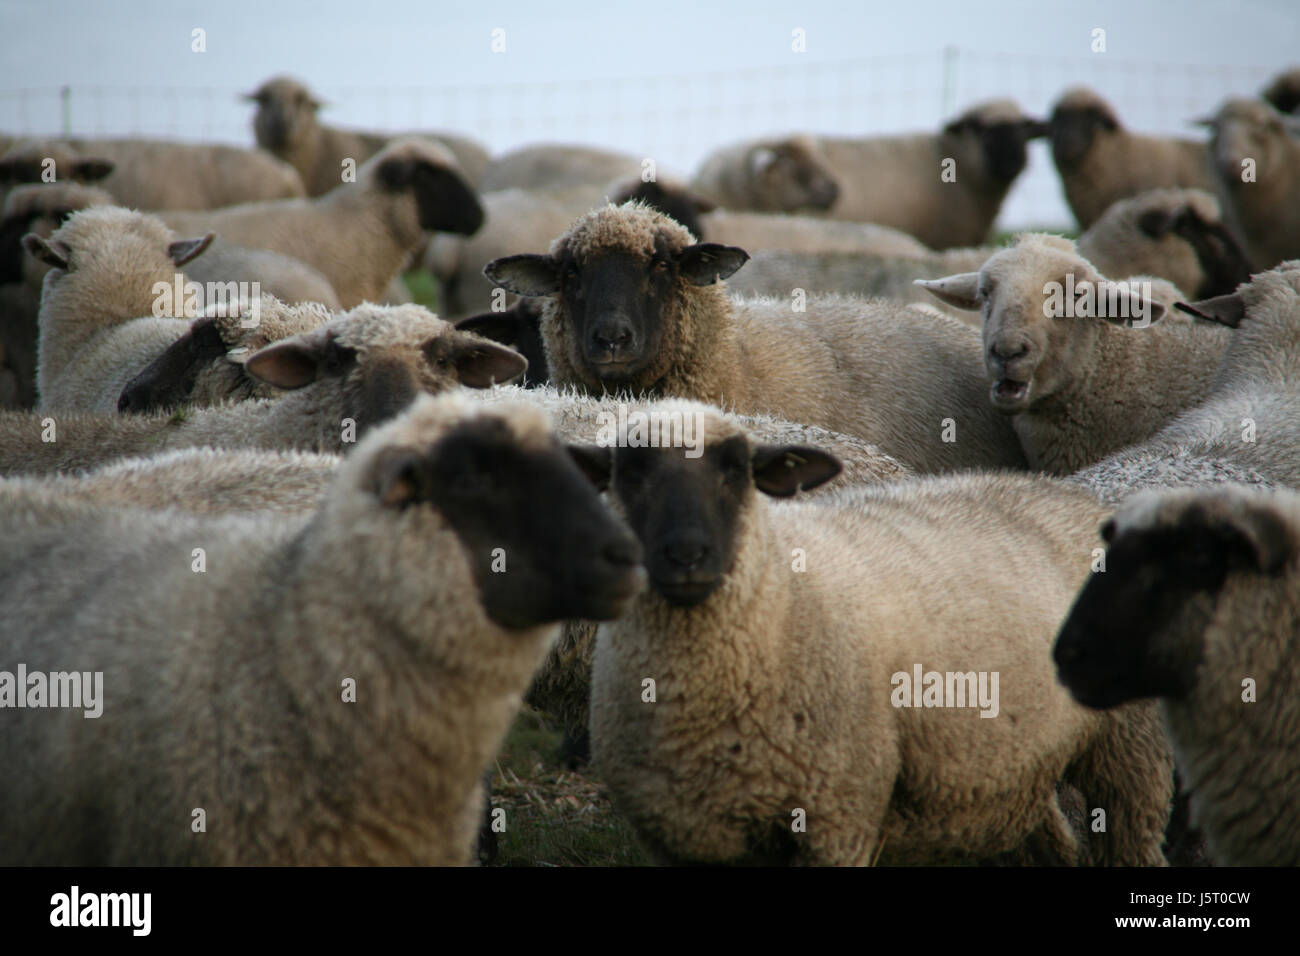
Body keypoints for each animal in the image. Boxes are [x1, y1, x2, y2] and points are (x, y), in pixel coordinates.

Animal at [581, 401, 1171, 866]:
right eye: (627, 474)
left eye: (737, 471)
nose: (686, 555)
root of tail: (1065, 492)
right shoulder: (678, 835)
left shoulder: (836, 817)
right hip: (1009, 771)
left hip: (1128, 746)